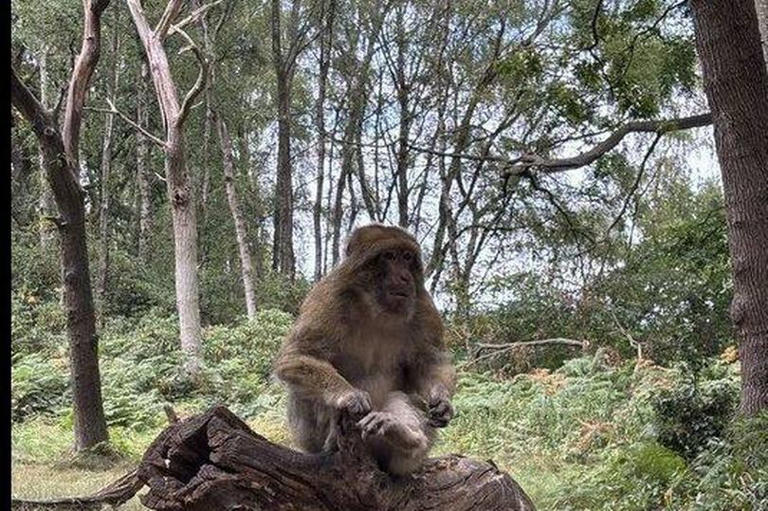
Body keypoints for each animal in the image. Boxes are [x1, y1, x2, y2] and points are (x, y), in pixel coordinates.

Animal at [274, 224, 456, 476]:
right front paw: (348, 394)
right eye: (389, 256)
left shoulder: (422, 303)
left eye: (407, 257)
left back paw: (404, 436)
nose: (405, 276)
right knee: (302, 389)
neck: (375, 305)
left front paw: (443, 402)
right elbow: (297, 356)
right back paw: (333, 440)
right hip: (311, 441)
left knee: (400, 401)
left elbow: (429, 362)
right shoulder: (328, 295)